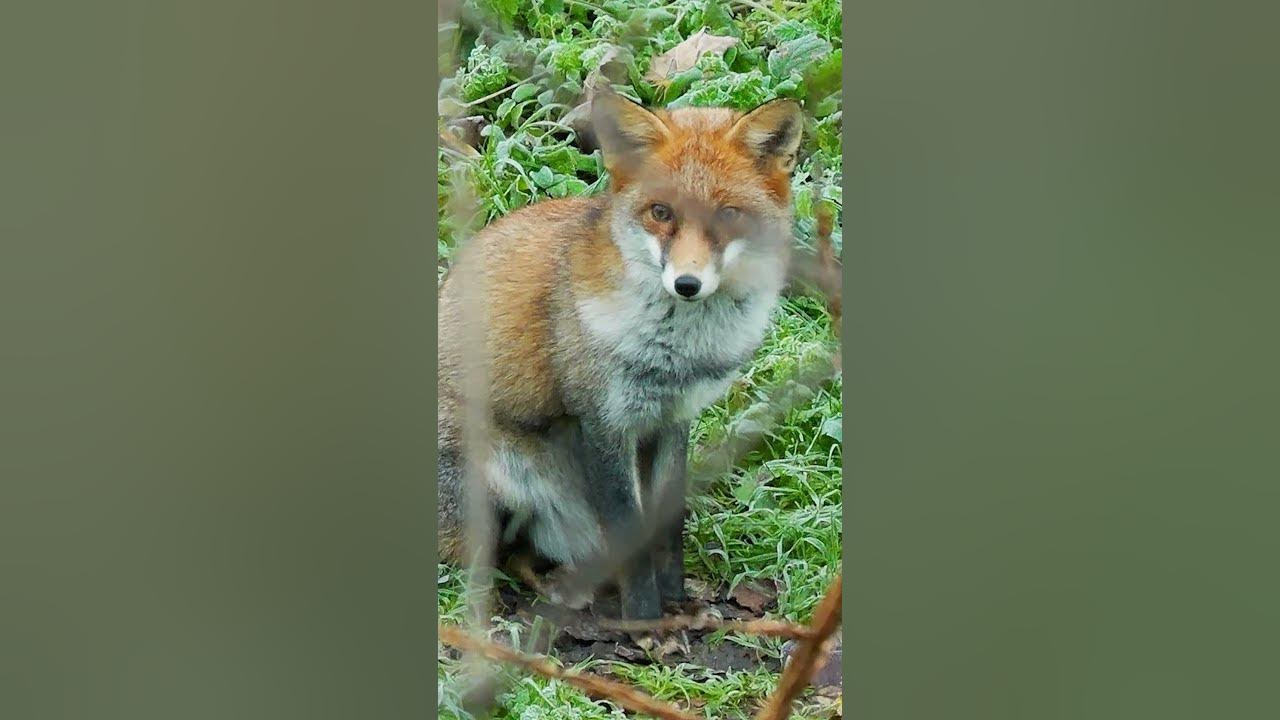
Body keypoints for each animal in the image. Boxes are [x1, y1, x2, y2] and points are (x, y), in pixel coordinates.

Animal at [438, 86, 804, 620]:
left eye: (728, 214)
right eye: (660, 212)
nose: (686, 284)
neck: (675, 356)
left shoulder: (673, 418)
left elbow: (666, 526)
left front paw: (676, 602)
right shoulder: (604, 422)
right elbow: (628, 529)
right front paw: (646, 621)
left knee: (523, 552)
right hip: (487, 497)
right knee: (488, 561)